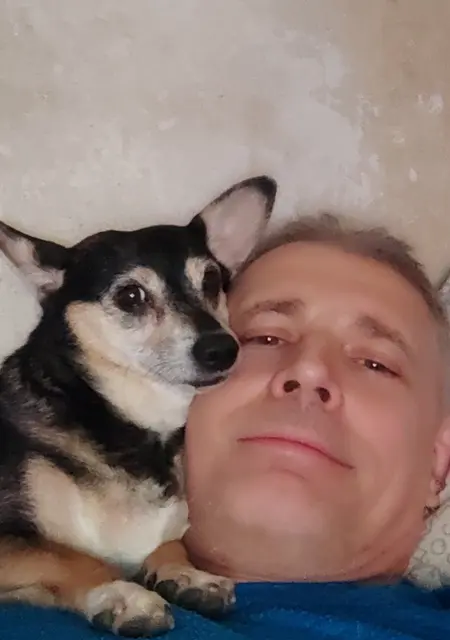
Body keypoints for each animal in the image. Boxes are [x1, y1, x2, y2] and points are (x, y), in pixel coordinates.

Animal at [0, 176, 276, 636]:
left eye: (212, 281)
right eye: (131, 296)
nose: (222, 349)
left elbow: (170, 543)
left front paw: (186, 574)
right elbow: (68, 555)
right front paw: (122, 595)